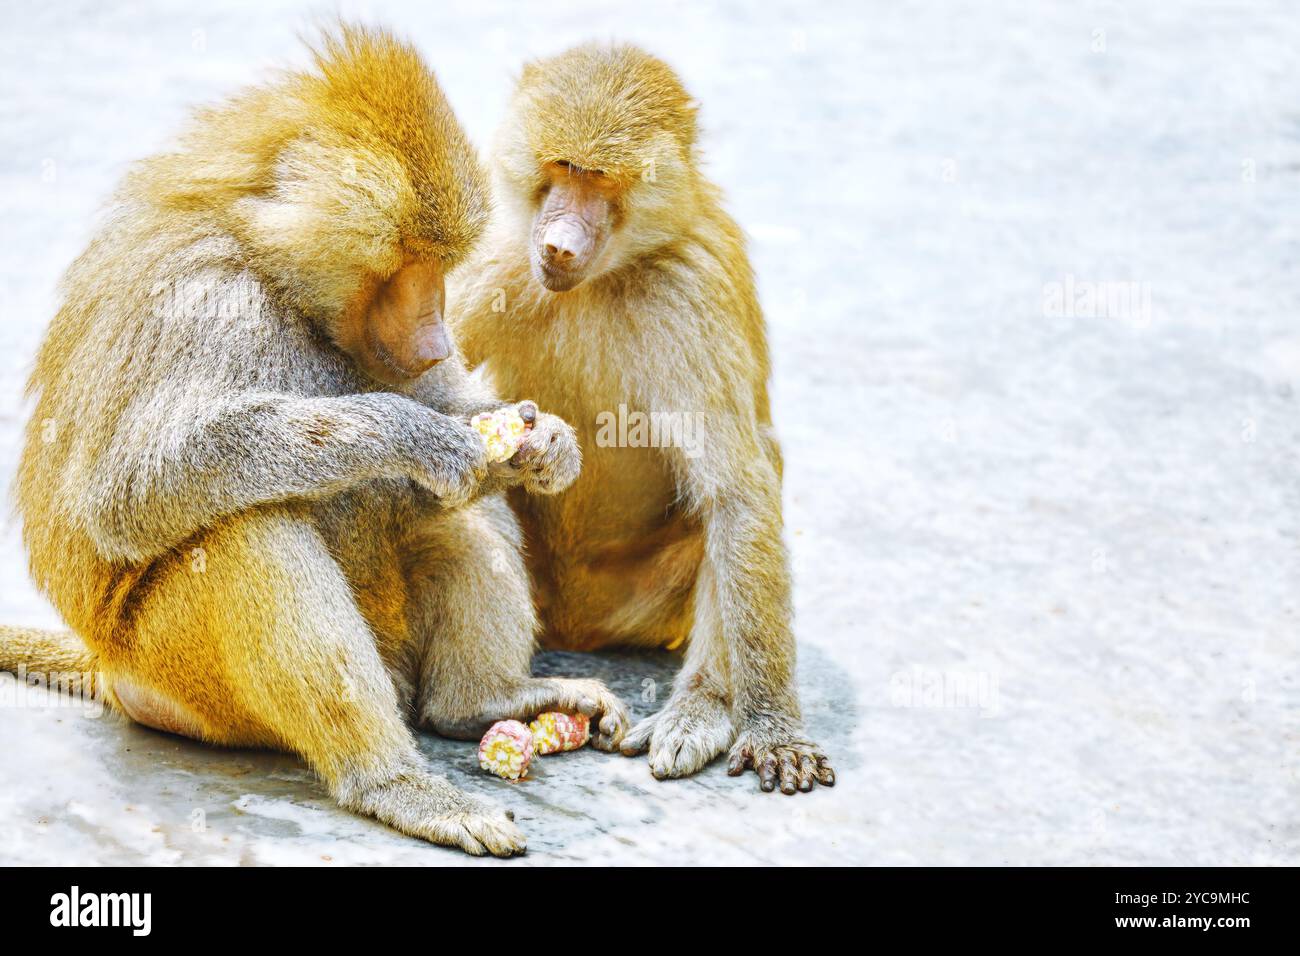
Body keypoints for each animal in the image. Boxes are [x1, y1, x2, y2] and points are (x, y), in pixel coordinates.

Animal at [0, 26, 630, 858]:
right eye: (412, 262)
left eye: (441, 265)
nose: (437, 335)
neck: (267, 265)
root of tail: (108, 670)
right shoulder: (202, 296)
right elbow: (131, 491)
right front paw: (414, 437)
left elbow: (456, 423)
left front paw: (546, 441)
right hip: (177, 681)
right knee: (249, 533)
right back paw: (393, 785)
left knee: (459, 513)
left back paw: (480, 702)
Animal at [451, 43, 834, 796]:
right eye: (562, 169)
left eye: (601, 179)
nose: (559, 246)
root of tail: (576, 629)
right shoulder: (499, 258)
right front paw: (548, 444)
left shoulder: (689, 291)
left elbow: (738, 494)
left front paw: (773, 728)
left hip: (638, 605)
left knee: (744, 489)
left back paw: (702, 711)